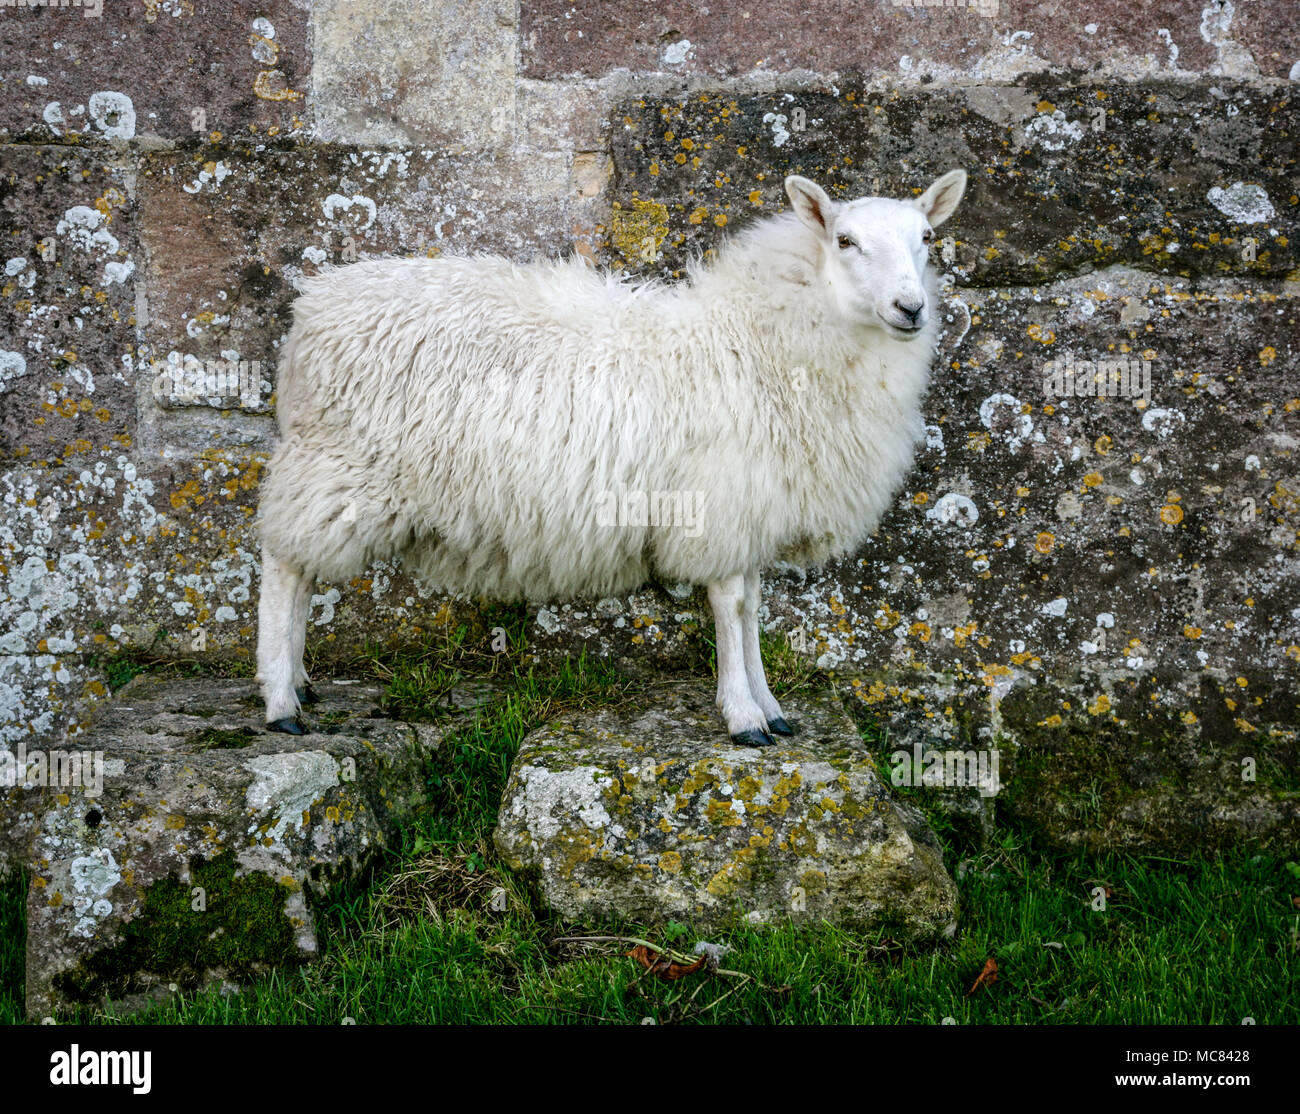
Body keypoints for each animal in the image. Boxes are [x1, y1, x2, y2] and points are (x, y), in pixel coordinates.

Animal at [256, 170, 967, 745]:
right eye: (845, 241)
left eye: (928, 237)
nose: (911, 308)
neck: (762, 337)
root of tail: (310, 309)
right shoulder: (721, 502)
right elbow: (730, 607)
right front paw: (743, 716)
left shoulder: (753, 505)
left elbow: (751, 609)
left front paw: (771, 706)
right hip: (337, 468)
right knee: (284, 570)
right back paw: (281, 699)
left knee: (300, 572)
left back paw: (301, 679)